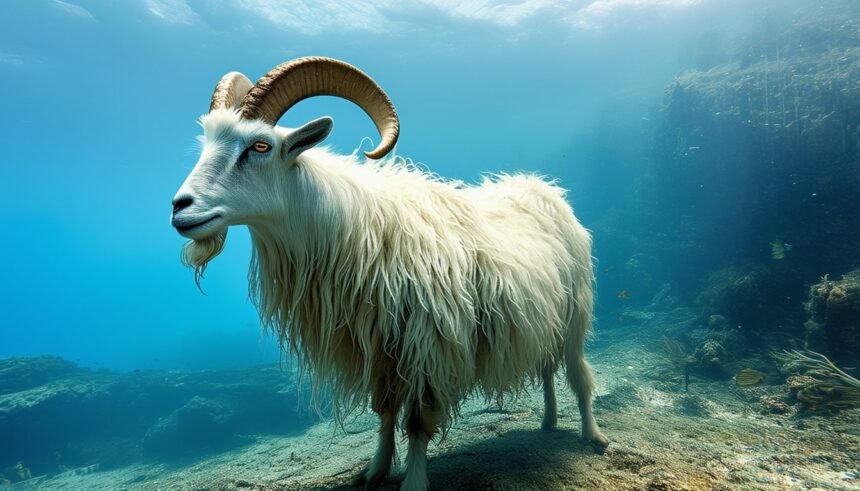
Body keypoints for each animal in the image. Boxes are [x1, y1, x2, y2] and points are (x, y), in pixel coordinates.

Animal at [171, 57, 608, 491]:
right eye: (206, 145)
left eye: (260, 145)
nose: (179, 208)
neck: (351, 226)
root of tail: (544, 187)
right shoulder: (379, 350)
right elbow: (383, 412)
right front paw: (375, 470)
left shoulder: (427, 348)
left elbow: (416, 422)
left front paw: (413, 481)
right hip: (544, 319)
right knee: (548, 368)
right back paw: (549, 421)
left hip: (575, 313)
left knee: (578, 375)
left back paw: (593, 436)